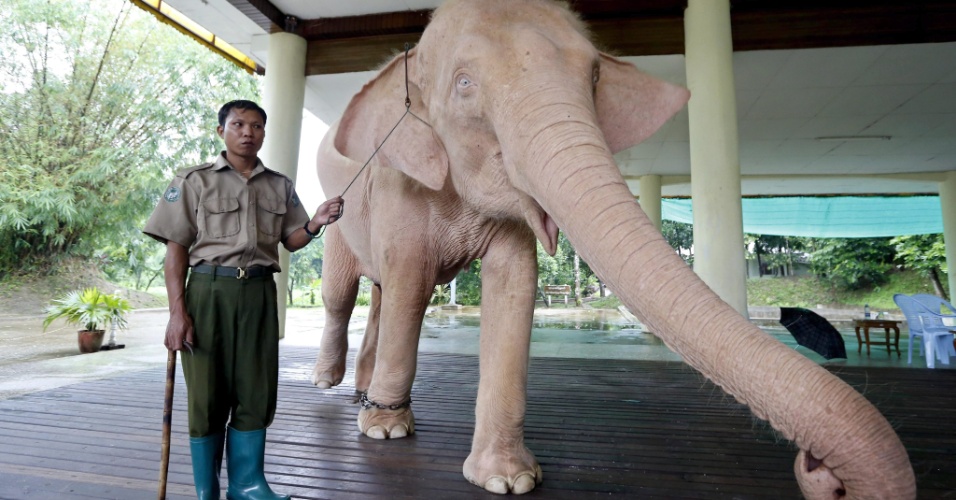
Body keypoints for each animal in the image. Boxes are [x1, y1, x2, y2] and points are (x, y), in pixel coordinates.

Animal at [308, 0, 915, 497]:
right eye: (463, 83)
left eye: (595, 74)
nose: (821, 470)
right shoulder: (397, 186)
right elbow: (412, 282)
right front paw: (387, 430)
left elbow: (515, 284)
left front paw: (509, 480)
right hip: (342, 225)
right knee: (349, 295)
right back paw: (332, 387)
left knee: (381, 294)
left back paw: (361, 393)